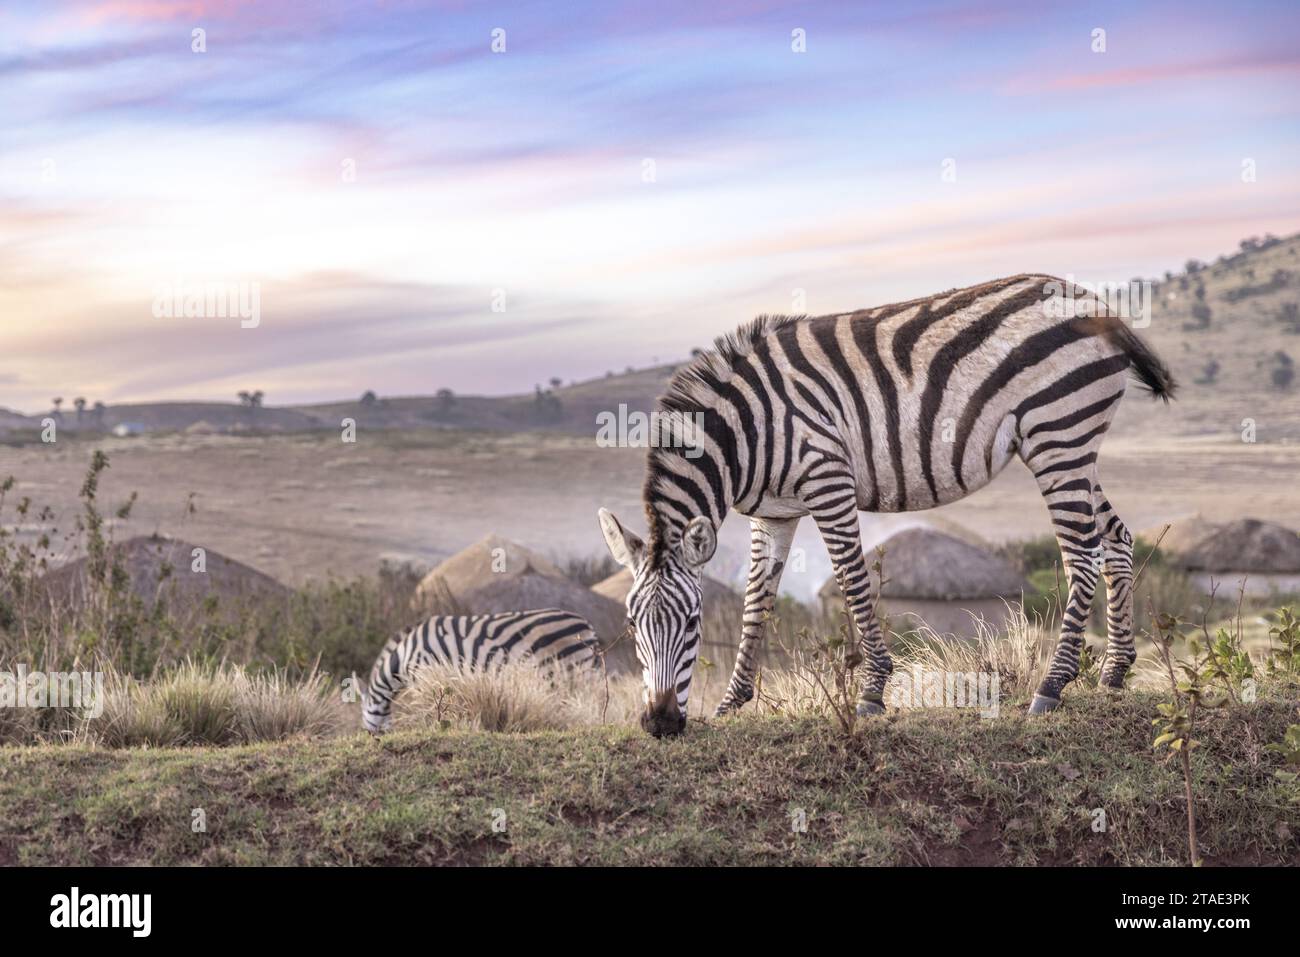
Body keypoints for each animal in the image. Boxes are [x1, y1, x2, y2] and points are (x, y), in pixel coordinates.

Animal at [362, 609, 601, 733]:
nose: (371, 737)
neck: (404, 655)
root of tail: (586, 624)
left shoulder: (426, 673)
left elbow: (430, 708)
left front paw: (434, 728)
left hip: (574, 669)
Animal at [598, 274, 1175, 736]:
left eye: (693, 622)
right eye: (630, 624)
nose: (660, 724)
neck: (746, 433)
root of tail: (1091, 300)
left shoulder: (828, 479)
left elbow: (852, 581)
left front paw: (873, 691)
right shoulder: (775, 513)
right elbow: (756, 600)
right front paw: (732, 704)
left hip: (1058, 434)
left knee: (1082, 555)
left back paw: (1052, 687)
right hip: (1074, 446)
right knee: (1116, 540)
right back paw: (1115, 673)